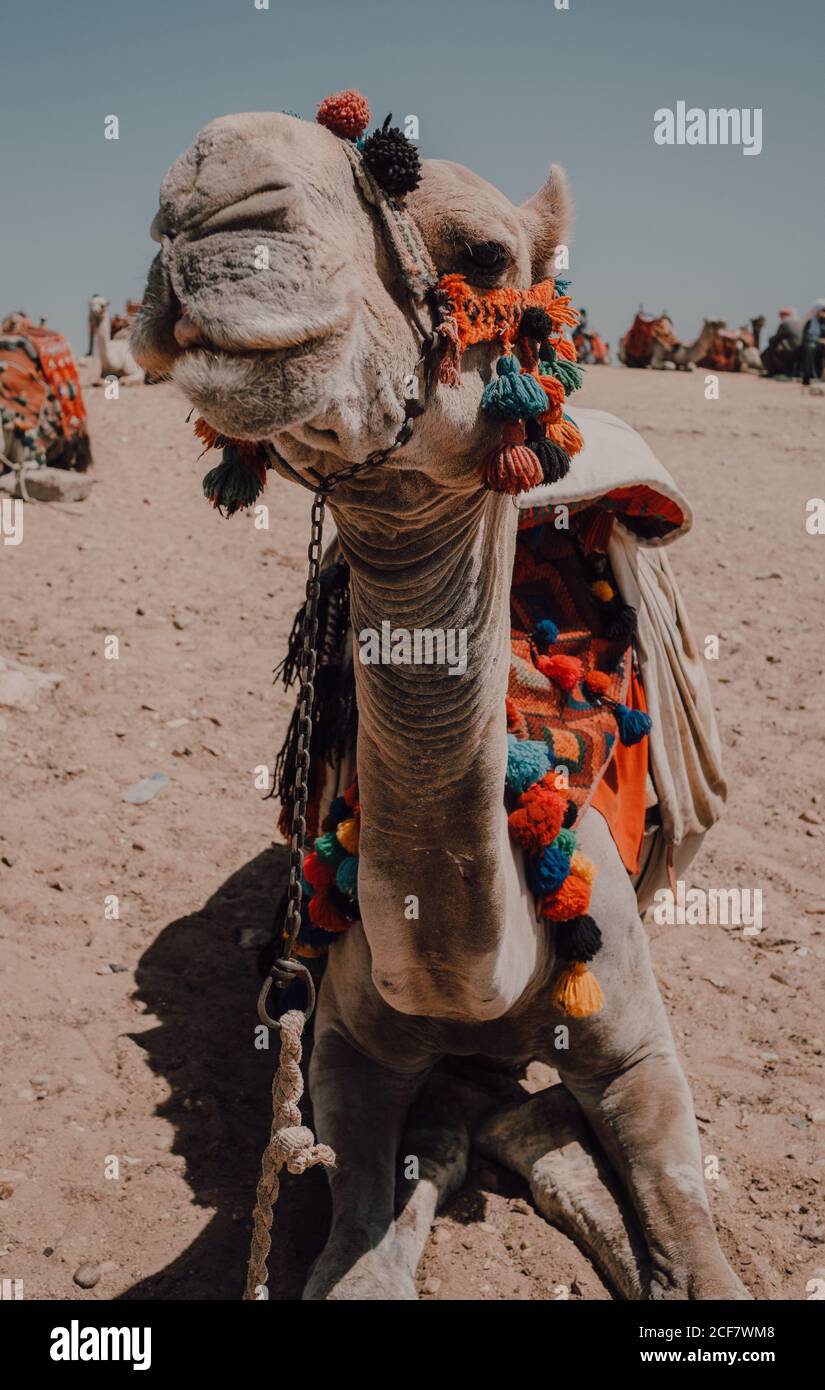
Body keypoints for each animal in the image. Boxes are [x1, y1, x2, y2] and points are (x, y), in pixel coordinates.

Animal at [133, 110, 749, 1302]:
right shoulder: (342, 1044)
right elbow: (357, 1257)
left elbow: (698, 1262)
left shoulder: (639, 1045)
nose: (206, 199)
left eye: (486, 253)